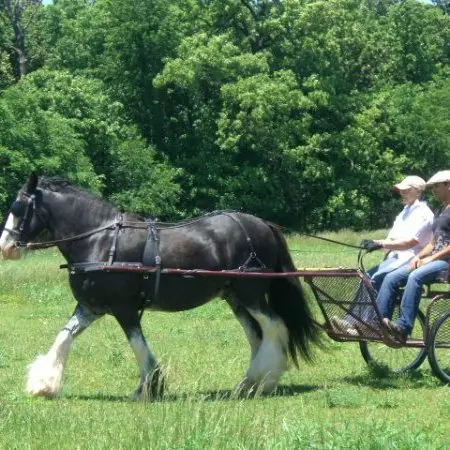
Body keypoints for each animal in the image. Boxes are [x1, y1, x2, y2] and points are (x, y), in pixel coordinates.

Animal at [0, 172, 318, 398]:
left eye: (18, 207)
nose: (6, 247)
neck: (101, 241)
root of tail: (263, 224)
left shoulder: (124, 308)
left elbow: (138, 346)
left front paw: (149, 387)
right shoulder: (90, 306)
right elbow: (63, 338)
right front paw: (44, 385)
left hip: (250, 293)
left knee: (275, 327)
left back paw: (266, 380)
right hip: (234, 297)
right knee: (256, 335)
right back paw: (249, 383)